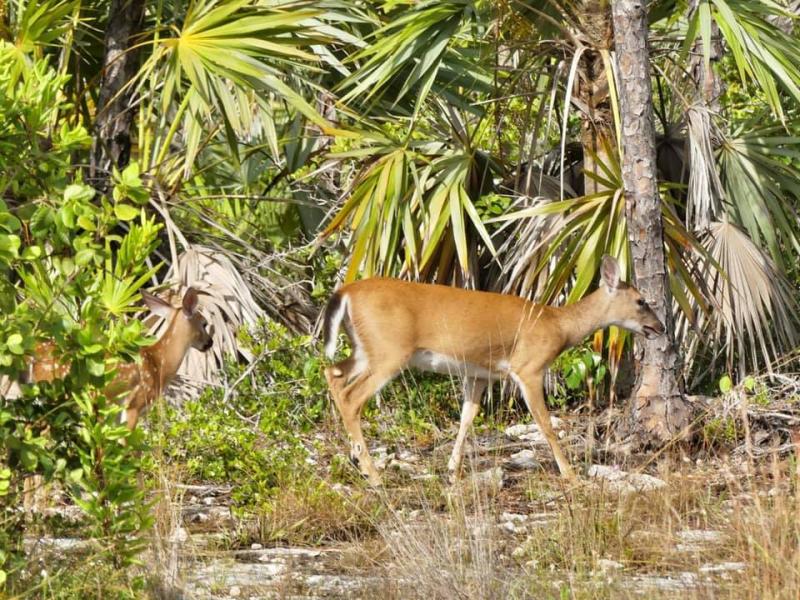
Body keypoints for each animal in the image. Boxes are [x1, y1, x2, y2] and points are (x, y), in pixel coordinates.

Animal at [321, 255, 665, 486]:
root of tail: (345, 294)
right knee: (352, 396)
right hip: (389, 350)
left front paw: (452, 469)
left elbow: (467, 416)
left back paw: (356, 459)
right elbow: (545, 423)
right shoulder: (529, 366)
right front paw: (570, 474)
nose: (660, 327)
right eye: (641, 301)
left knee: (332, 374)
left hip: (366, 350)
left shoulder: (479, 373)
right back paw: (372, 473)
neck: (559, 325)